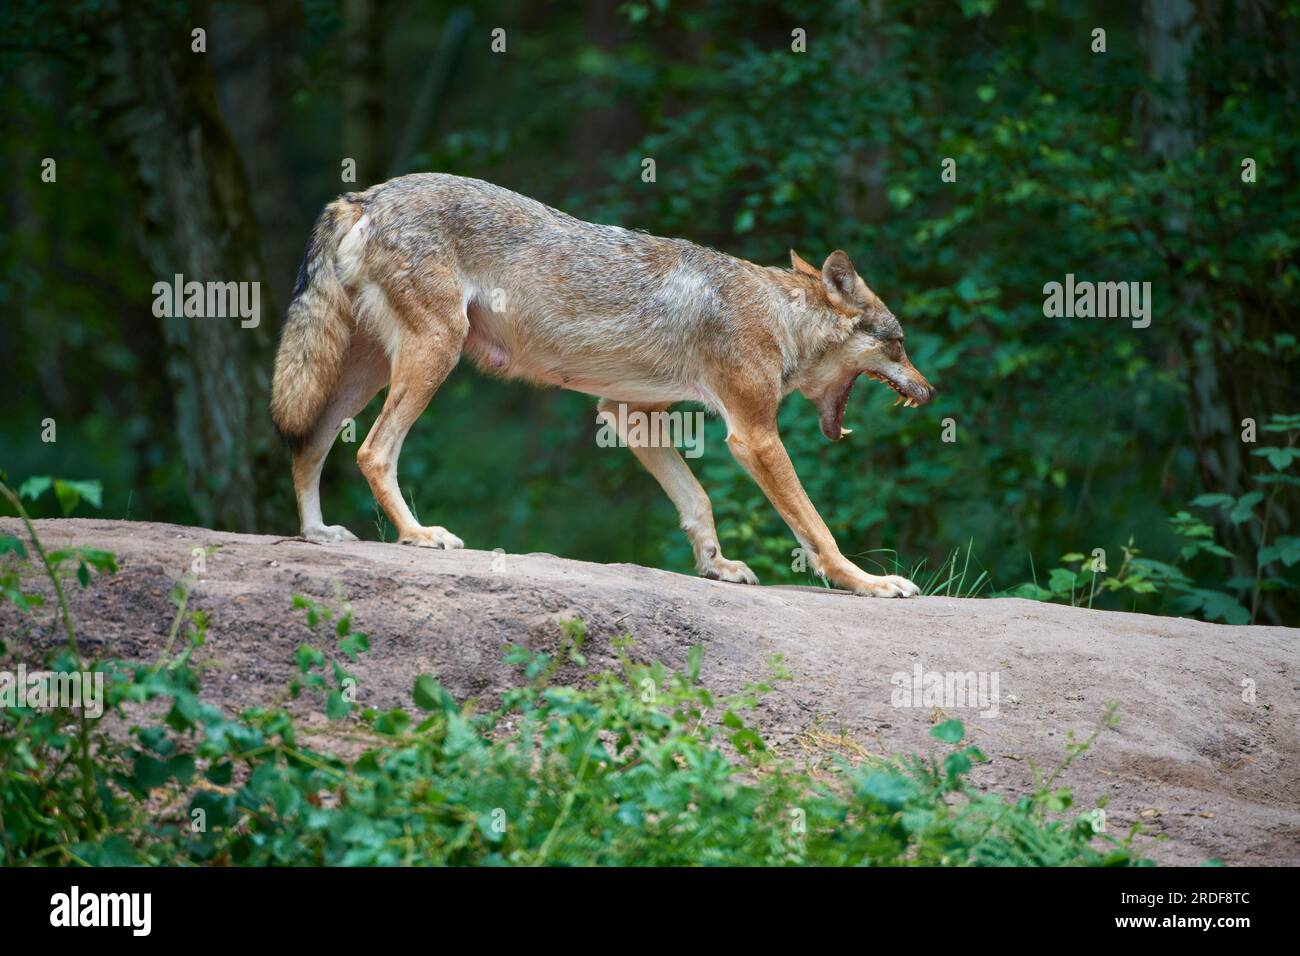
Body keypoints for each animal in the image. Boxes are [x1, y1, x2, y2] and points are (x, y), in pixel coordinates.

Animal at [270, 174, 935, 597]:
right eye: (900, 343)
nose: (930, 392)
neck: (777, 315)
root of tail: (363, 195)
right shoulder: (754, 437)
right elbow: (817, 529)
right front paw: (870, 583)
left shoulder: (629, 414)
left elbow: (698, 501)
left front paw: (715, 567)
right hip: (433, 355)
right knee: (372, 451)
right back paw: (417, 535)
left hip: (366, 372)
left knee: (308, 444)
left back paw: (317, 534)